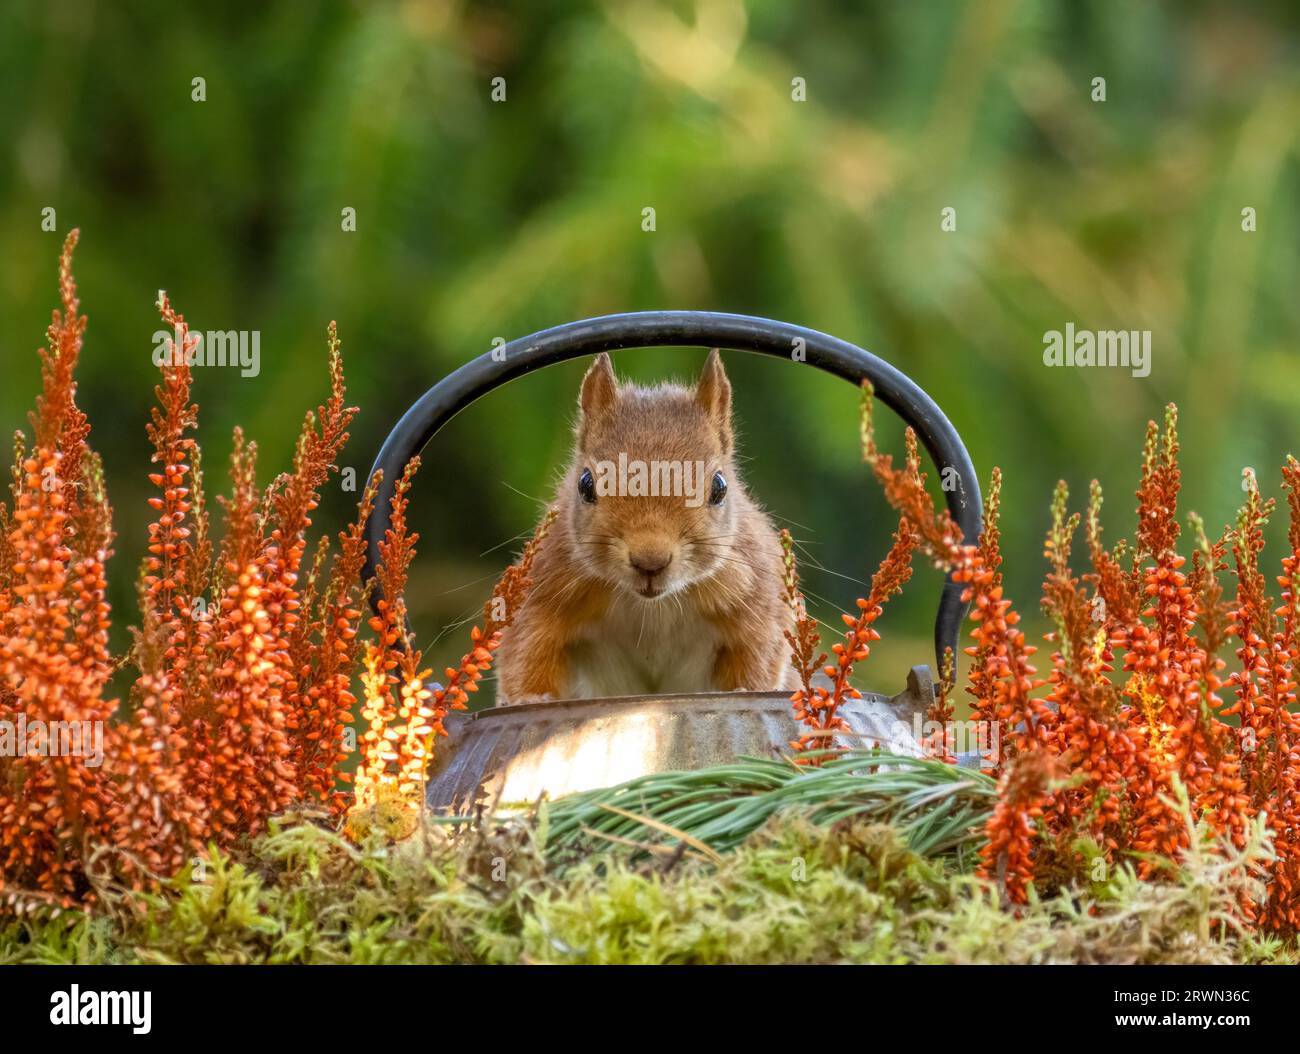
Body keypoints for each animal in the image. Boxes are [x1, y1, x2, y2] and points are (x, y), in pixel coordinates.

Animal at [495, 350, 797, 704]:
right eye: (585, 484)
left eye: (719, 487)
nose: (650, 561)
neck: (653, 607)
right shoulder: (546, 589)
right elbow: (527, 648)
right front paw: (530, 700)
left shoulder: (753, 597)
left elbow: (758, 653)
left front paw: (745, 690)